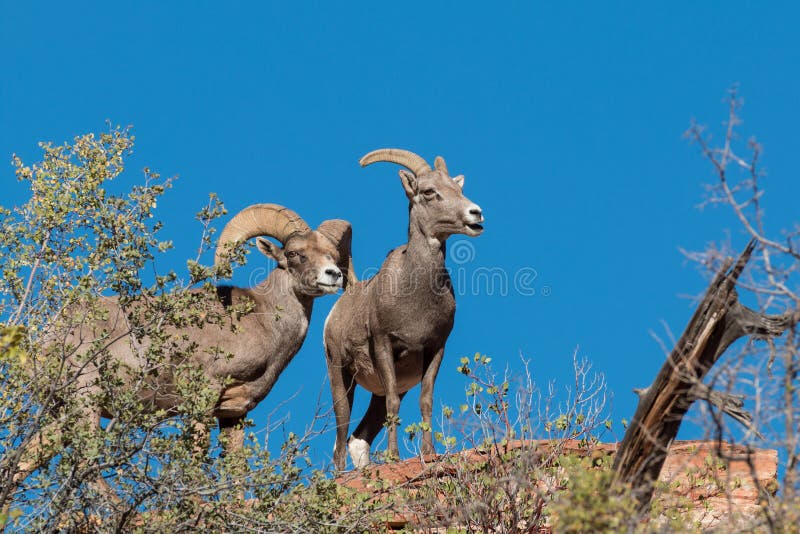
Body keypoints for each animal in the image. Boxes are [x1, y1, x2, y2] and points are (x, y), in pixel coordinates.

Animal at [13, 203, 353, 485]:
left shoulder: (234, 414)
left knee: (27, 461)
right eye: (295, 253)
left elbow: (236, 472)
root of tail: (48, 335)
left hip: (64, 413)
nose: (333, 275)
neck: (261, 320)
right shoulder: (203, 397)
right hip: (86, 400)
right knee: (85, 462)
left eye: (333, 256)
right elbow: (196, 461)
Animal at [323, 149, 484, 470]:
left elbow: (426, 401)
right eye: (429, 192)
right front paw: (394, 457)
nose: (476, 213)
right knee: (342, 430)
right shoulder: (385, 345)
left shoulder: (434, 349)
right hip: (340, 374)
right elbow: (393, 405)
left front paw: (429, 452)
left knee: (358, 437)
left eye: (457, 188)